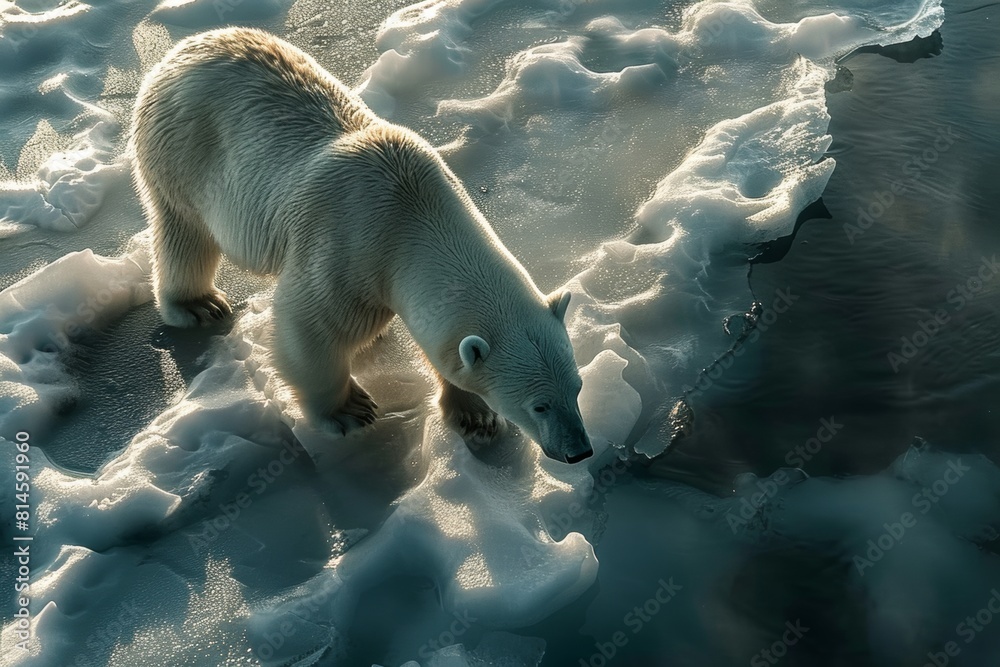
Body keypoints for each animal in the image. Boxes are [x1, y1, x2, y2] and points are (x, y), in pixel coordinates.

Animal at [130, 28, 593, 464]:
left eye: (577, 387)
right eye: (539, 405)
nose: (579, 451)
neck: (412, 211)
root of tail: (183, 49)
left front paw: (476, 415)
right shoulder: (348, 242)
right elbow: (310, 328)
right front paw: (348, 410)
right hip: (181, 152)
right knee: (184, 233)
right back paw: (198, 305)